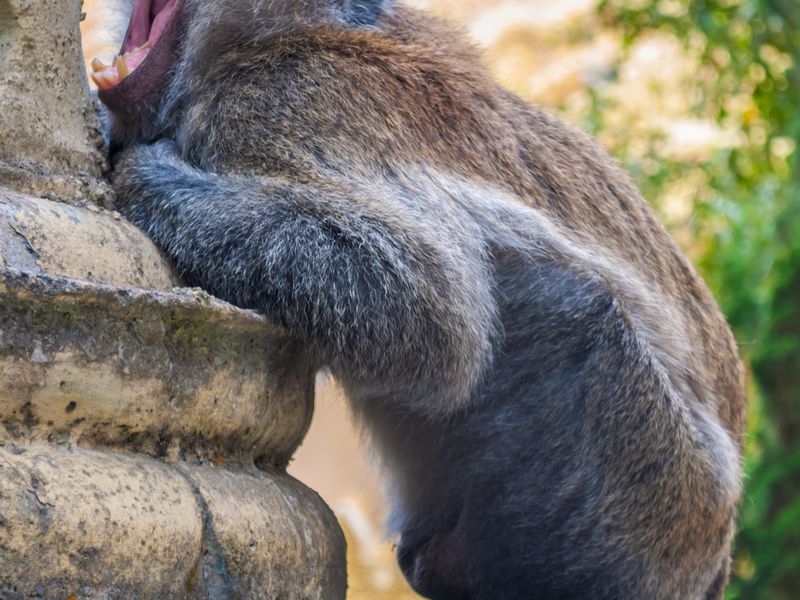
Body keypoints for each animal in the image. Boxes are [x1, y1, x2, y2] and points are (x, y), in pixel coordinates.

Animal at [93, 0, 747, 598]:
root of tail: (714, 558)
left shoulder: (272, 106)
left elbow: (427, 311)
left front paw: (147, 180)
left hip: (650, 497)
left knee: (573, 307)